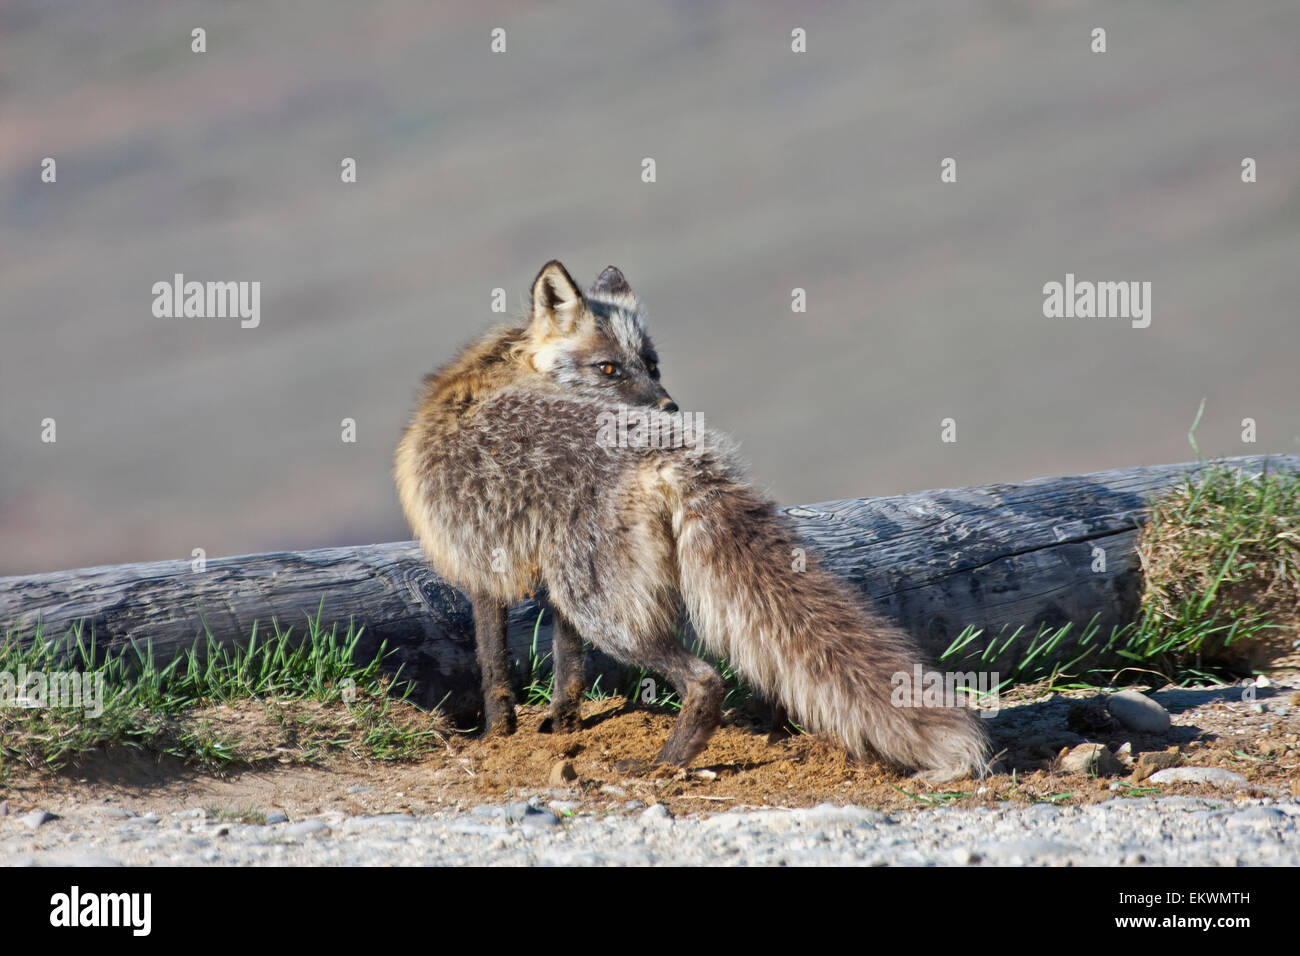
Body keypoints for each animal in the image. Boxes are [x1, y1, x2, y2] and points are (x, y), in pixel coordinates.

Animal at [395, 260, 989, 778]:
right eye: (609, 367)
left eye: (651, 365)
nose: (668, 407)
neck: (495, 370)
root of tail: (671, 452)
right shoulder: (544, 583)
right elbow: (569, 671)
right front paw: (562, 731)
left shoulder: (478, 568)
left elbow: (493, 672)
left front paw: (497, 739)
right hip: (589, 590)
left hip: (603, 609)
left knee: (704, 680)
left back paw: (664, 765)